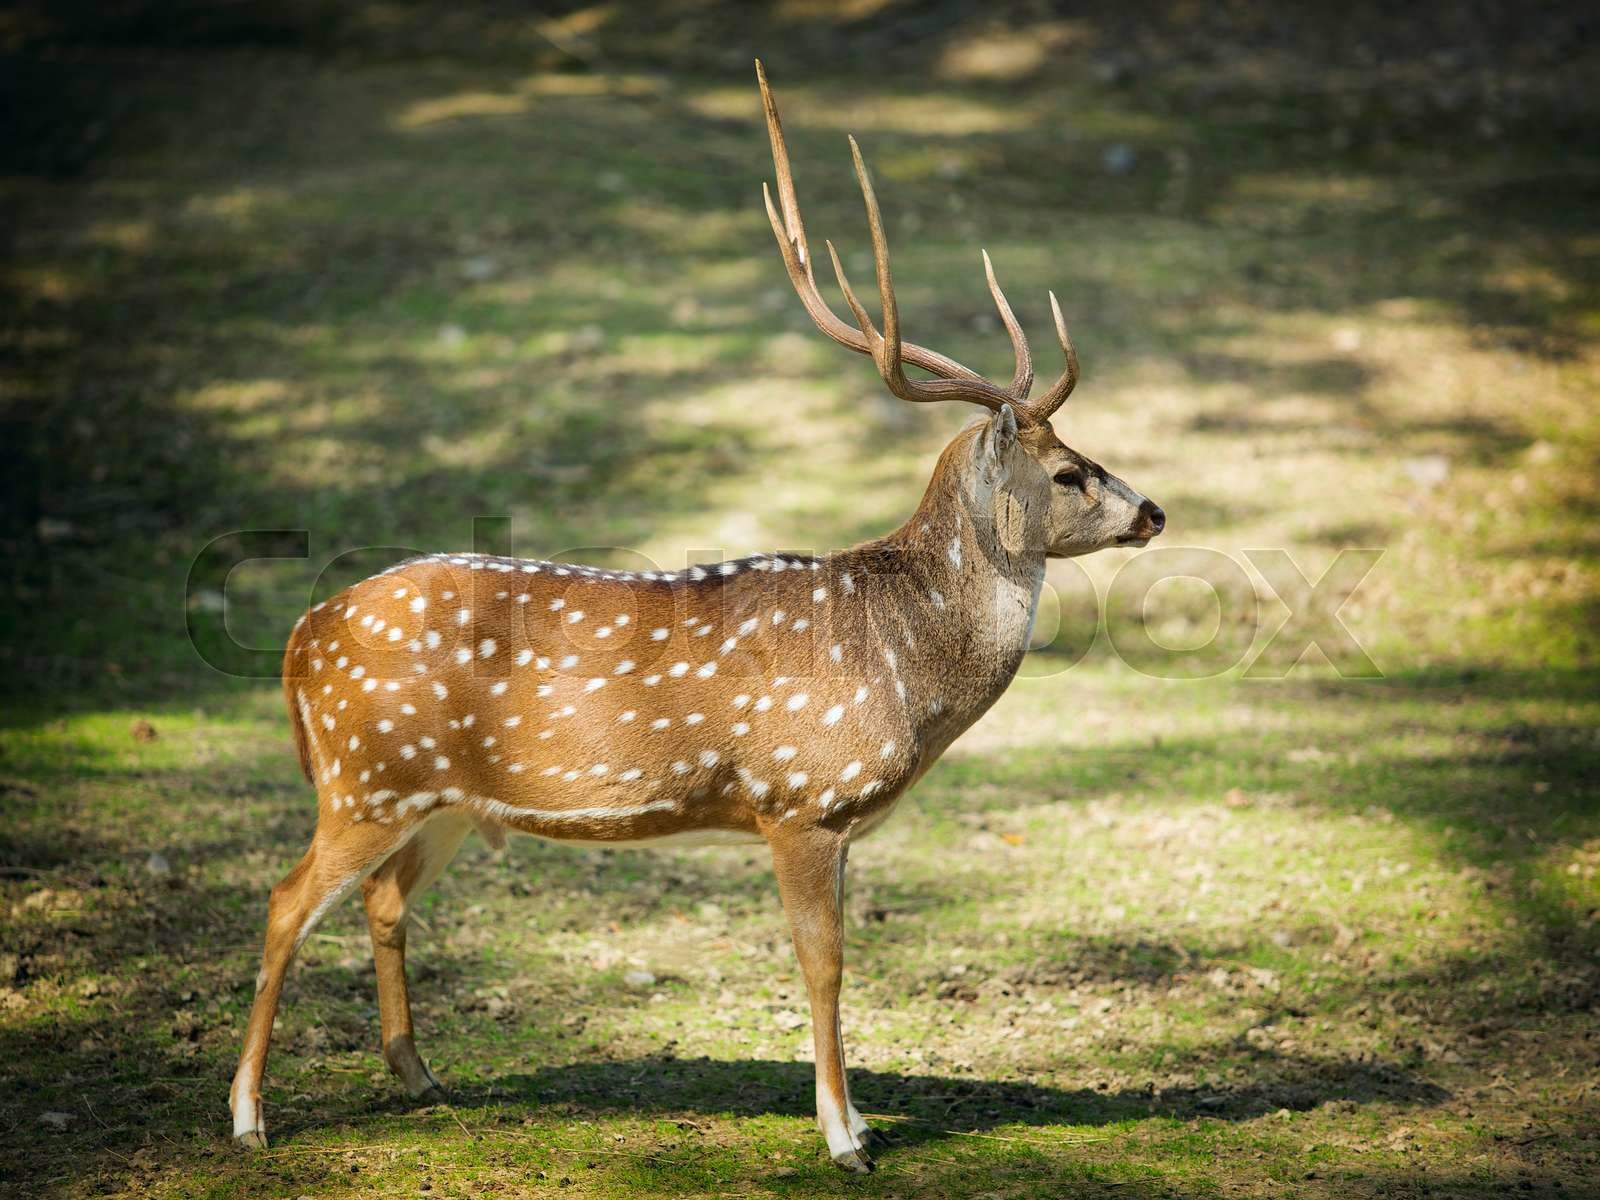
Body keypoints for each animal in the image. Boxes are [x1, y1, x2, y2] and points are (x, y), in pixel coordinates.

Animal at [230, 61, 1164, 1173]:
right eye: (1067, 472)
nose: (1154, 510)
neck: (903, 664)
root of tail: (301, 636)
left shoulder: (832, 820)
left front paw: (851, 1124)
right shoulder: (801, 798)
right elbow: (823, 966)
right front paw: (845, 1137)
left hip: (436, 797)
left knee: (382, 897)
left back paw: (418, 1076)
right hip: (365, 777)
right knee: (284, 902)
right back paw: (248, 1116)